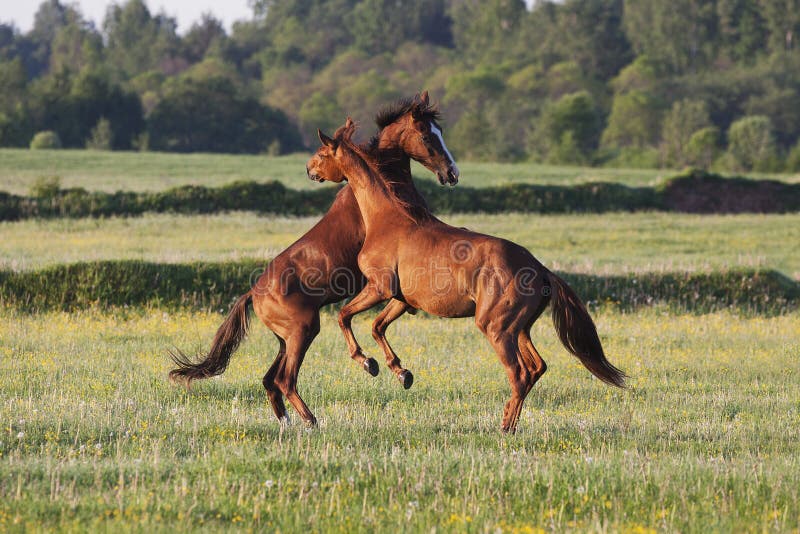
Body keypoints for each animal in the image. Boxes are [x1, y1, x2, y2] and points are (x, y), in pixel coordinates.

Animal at [169, 93, 460, 428]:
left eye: (440, 132)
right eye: (426, 136)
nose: (452, 173)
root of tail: (253, 294)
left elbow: (382, 321)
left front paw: (399, 370)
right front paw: (376, 364)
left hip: (287, 338)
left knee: (270, 380)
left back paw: (288, 422)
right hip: (303, 330)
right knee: (284, 380)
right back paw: (312, 420)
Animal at [306, 121, 626, 433]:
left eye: (322, 153)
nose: (309, 170)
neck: (388, 219)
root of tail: (541, 269)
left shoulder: (379, 289)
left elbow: (345, 316)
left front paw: (367, 363)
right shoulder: (403, 300)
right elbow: (377, 326)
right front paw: (401, 372)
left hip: (496, 329)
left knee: (519, 373)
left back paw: (505, 428)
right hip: (520, 329)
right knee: (537, 367)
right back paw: (508, 420)